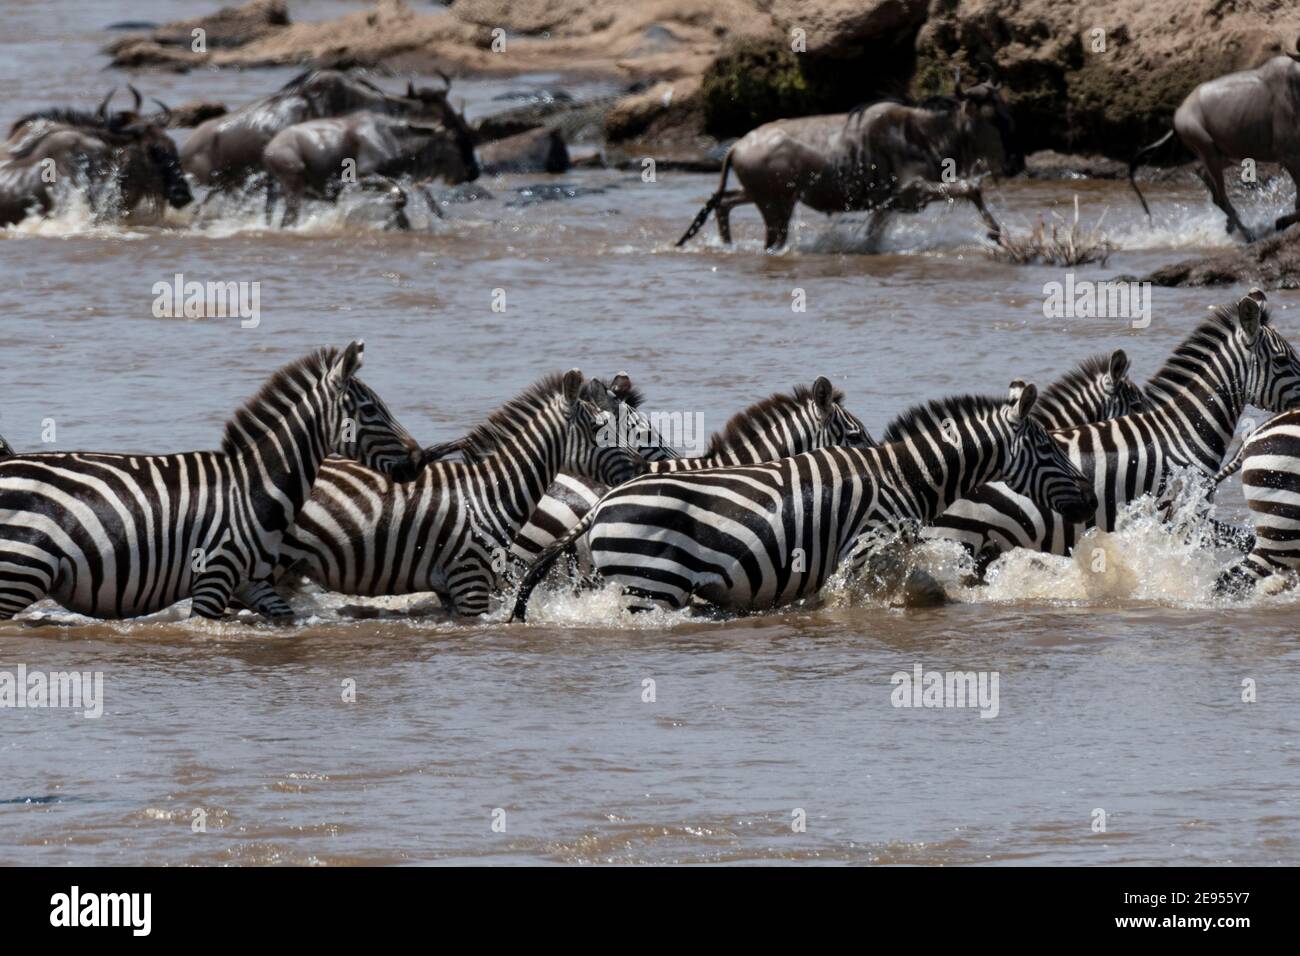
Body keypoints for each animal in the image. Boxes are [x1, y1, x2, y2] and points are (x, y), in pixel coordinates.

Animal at [0, 342, 427, 622]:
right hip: (19, 569)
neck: (254, 486)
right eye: (370, 410)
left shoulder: (251, 581)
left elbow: (286, 617)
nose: (420, 460)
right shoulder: (213, 575)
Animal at [511, 381, 1095, 617]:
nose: (1091, 503)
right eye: (1047, 445)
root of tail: (597, 507)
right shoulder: (865, 551)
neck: (905, 477)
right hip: (650, 587)